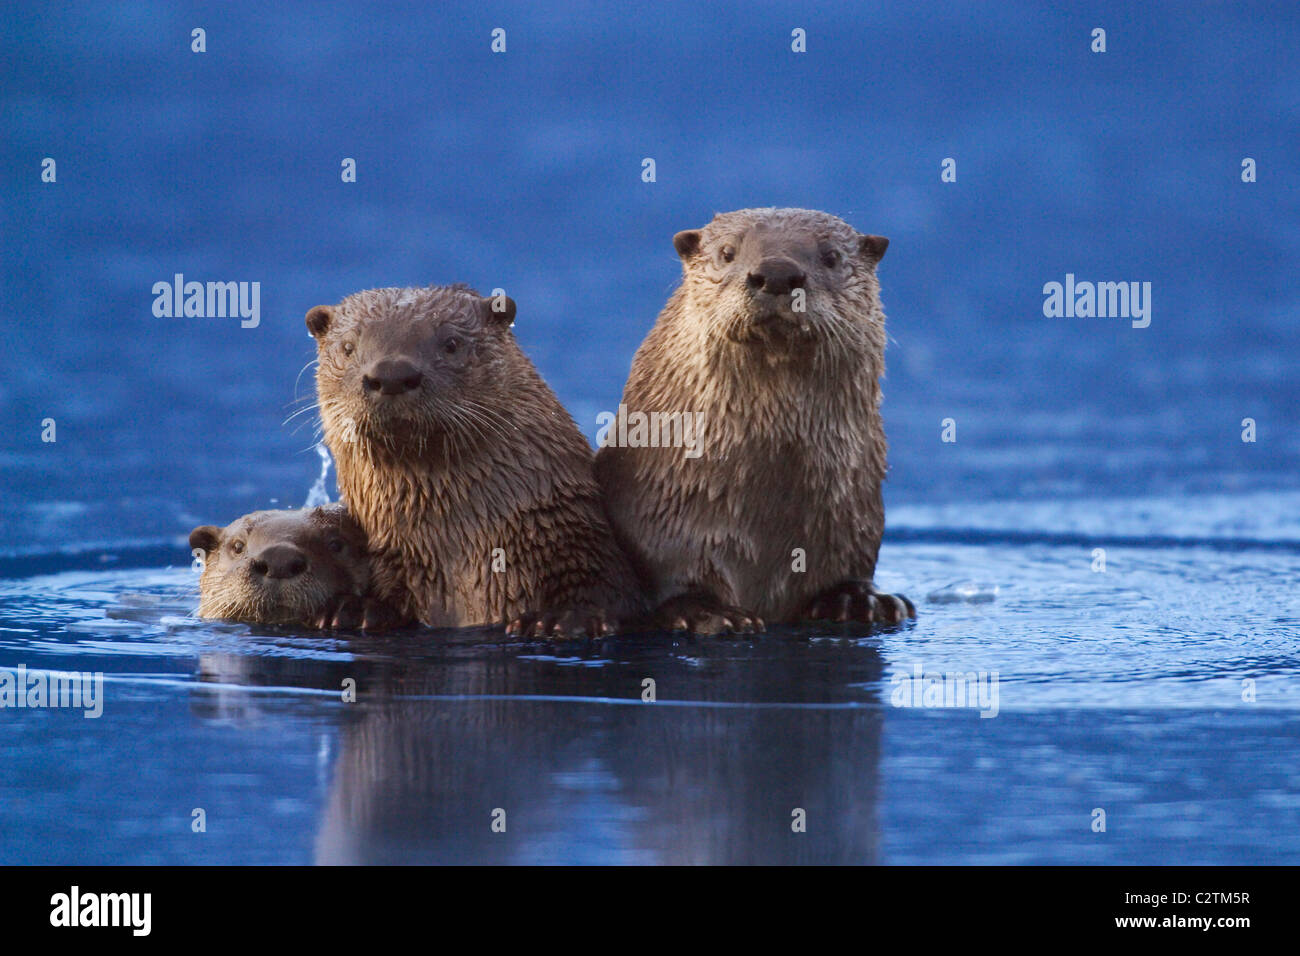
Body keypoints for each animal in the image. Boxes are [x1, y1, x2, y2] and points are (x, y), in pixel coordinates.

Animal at [306, 284, 644, 638]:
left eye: (452, 343)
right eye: (347, 347)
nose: (392, 375)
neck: (460, 554)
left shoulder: (581, 542)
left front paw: (567, 617)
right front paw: (357, 609)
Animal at [594, 207, 915, 634]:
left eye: (831, 256)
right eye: (727, 252)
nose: (777, 273)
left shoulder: (854, 514)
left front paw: (857, 599)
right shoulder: (656, 519)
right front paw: (707, 611)